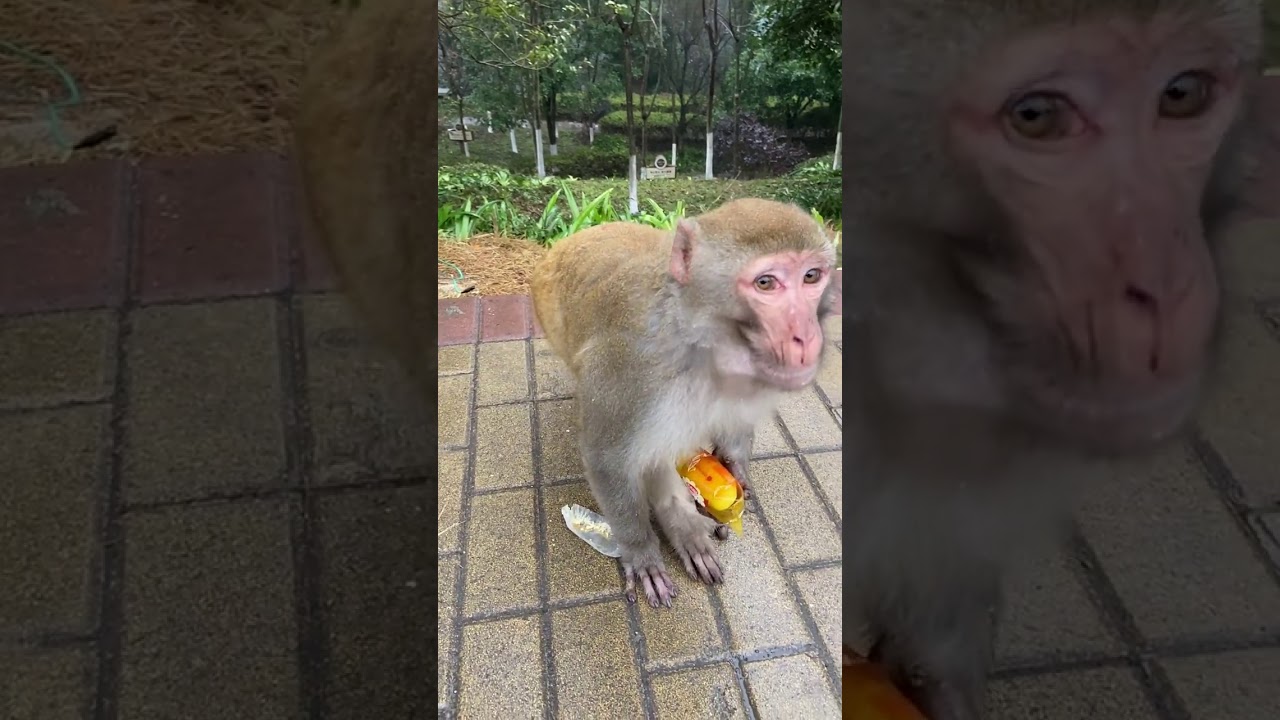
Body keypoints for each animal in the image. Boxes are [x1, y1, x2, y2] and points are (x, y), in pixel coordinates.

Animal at [530, 199, 837, 608]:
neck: (701, 342)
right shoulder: (630, 369)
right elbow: (608, 459)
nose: (805, 335)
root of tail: (568, 242)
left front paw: (734, 472)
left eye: (811, 276)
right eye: (766, 283)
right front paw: (641, 550)